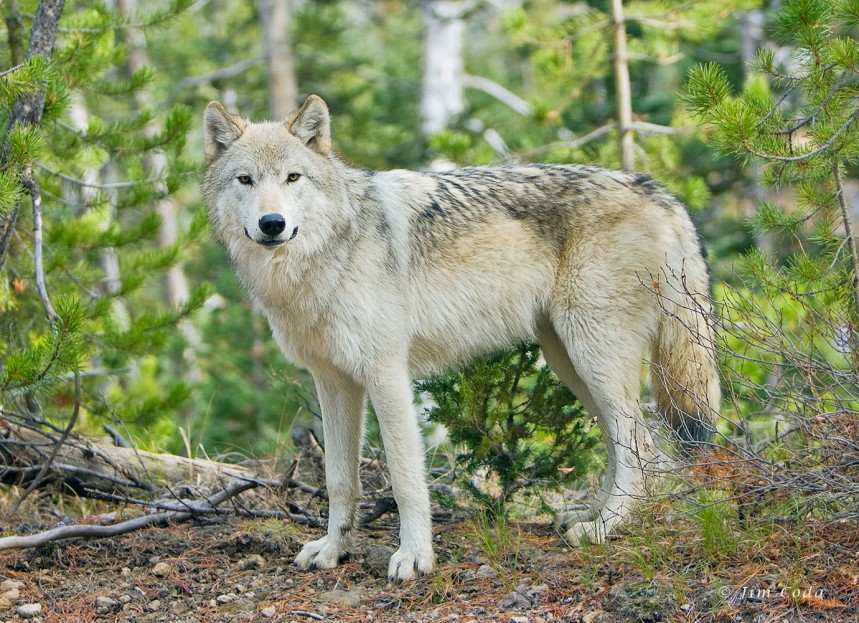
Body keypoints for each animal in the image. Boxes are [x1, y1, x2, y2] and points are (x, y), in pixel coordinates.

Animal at [202, 95, 720, 582]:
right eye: (246, 180)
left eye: (293, 177)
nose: (272, 224)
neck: (323, 258)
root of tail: (660, 192)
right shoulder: (333, 381)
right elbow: (339, 481)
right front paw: (333, 550)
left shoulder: (386, 373)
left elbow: (405, 478)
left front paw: (414, 557)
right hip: (570, 363)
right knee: (623, 445)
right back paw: (590, 515)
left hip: (593, 355)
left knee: (643, 446)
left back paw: (604, 528)